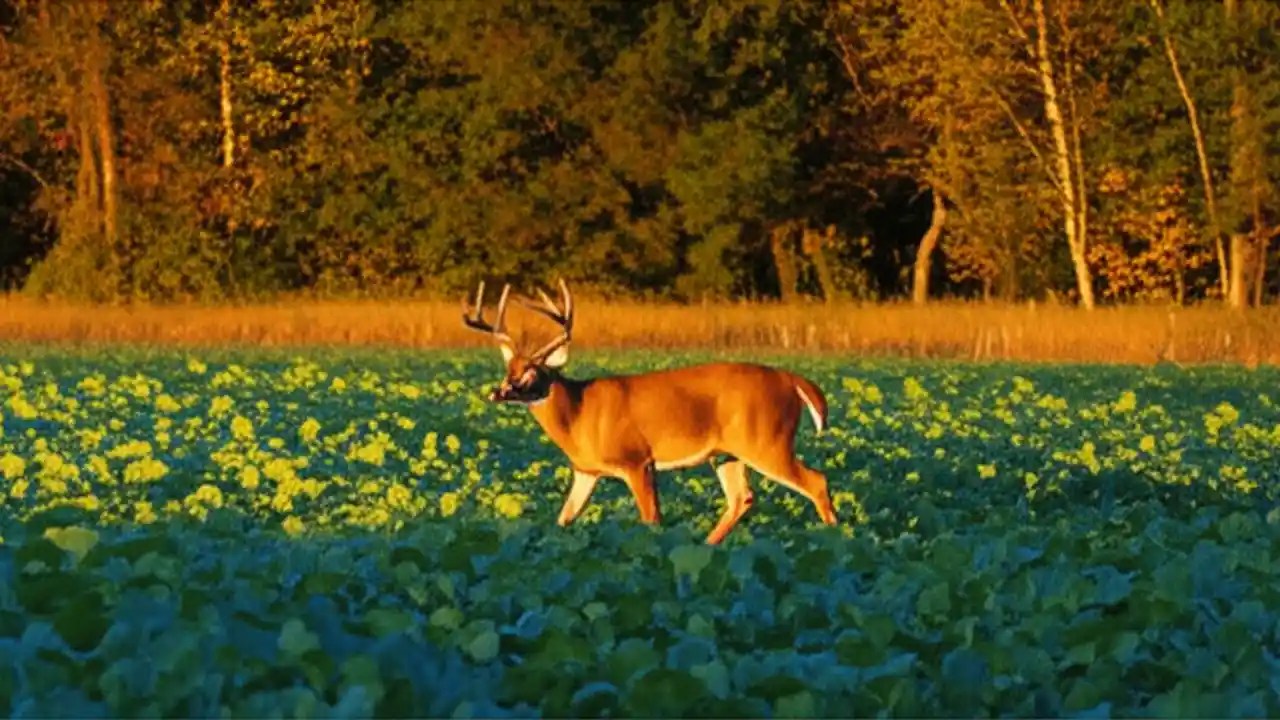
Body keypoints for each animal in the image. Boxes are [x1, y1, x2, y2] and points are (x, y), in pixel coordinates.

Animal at [461, 279, 838, 545]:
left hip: (767, 441)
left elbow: (651, 520)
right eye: (509, 370)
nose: (499, 392)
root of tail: (792, 379)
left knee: (816, 481)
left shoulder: (637, 460)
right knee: (742, 498)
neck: (578, 414)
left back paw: (838, 541)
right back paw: (707, 544)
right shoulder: (585, 470)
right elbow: (564, 519)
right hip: (728, 453)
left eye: (531, 372)